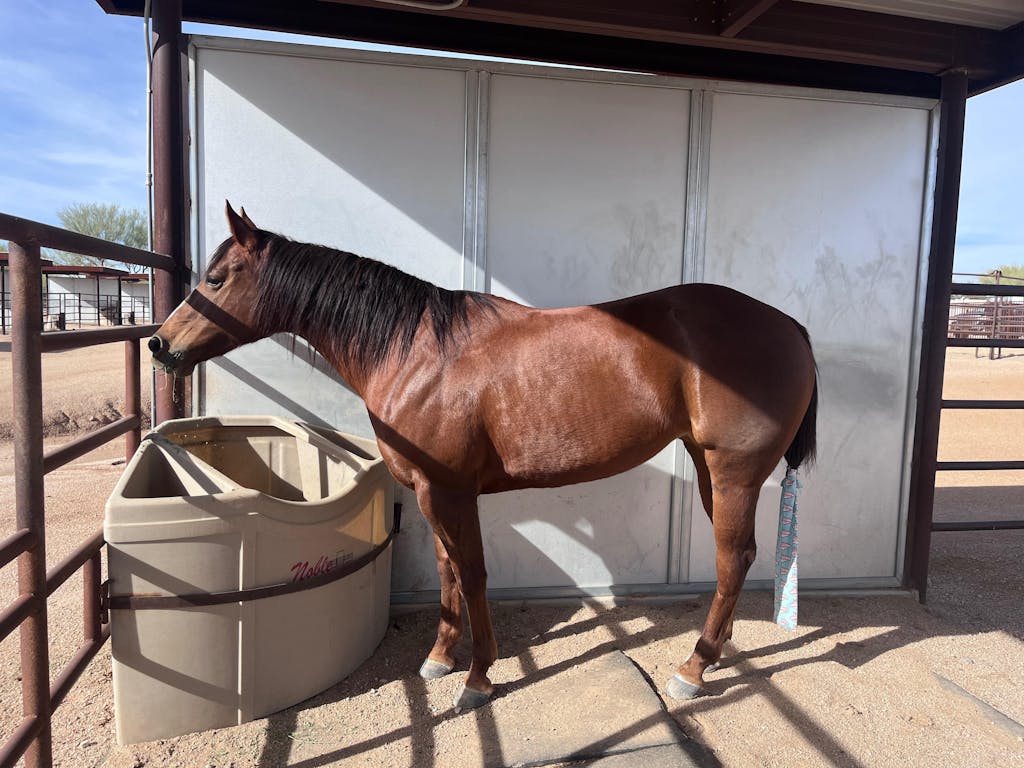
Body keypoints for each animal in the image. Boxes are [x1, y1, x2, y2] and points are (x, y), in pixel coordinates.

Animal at [149, 202, 818, 711]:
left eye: (217, 279)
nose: (158, 344)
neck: (415, 350)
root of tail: (790, 325)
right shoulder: (428, 491)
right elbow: (447, 569)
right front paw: (440, 658)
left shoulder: (449, 491)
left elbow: (471, 574)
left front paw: (477, 677)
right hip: (708, 468)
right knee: (741, 559)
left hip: (732, 473)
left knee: (731, 560)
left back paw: (692, 669)